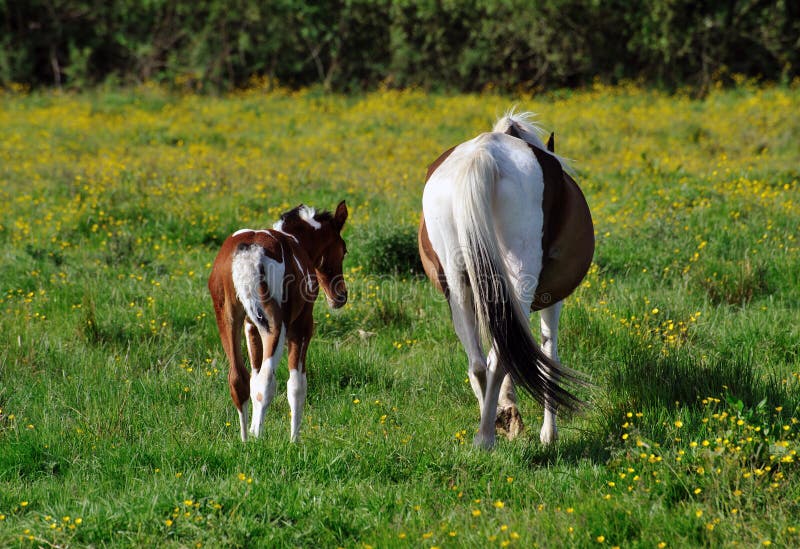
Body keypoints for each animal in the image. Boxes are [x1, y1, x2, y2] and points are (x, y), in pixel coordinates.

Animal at [208, 201, 349, 442]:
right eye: (344, 249)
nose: (340, 296)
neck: (297, 241)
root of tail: (248, 254)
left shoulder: (250, 327)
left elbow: (253, 377)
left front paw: (253, 430)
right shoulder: (302, 326)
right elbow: (296, 385)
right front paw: (294, 441)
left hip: (228, 319)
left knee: (239, 379)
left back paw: (245, 440)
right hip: (276, 326)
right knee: (266, 381)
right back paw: (259, 439)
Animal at [418, 112, 594, 449]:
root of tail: (483, 153)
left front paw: (508, 406)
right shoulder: (552, 301)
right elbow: (548, 353)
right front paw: (549, 434)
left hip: (457, 285)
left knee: (478, 361)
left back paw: (492, 423)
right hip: (519, 277)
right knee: (500, 357)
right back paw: (487, 437)